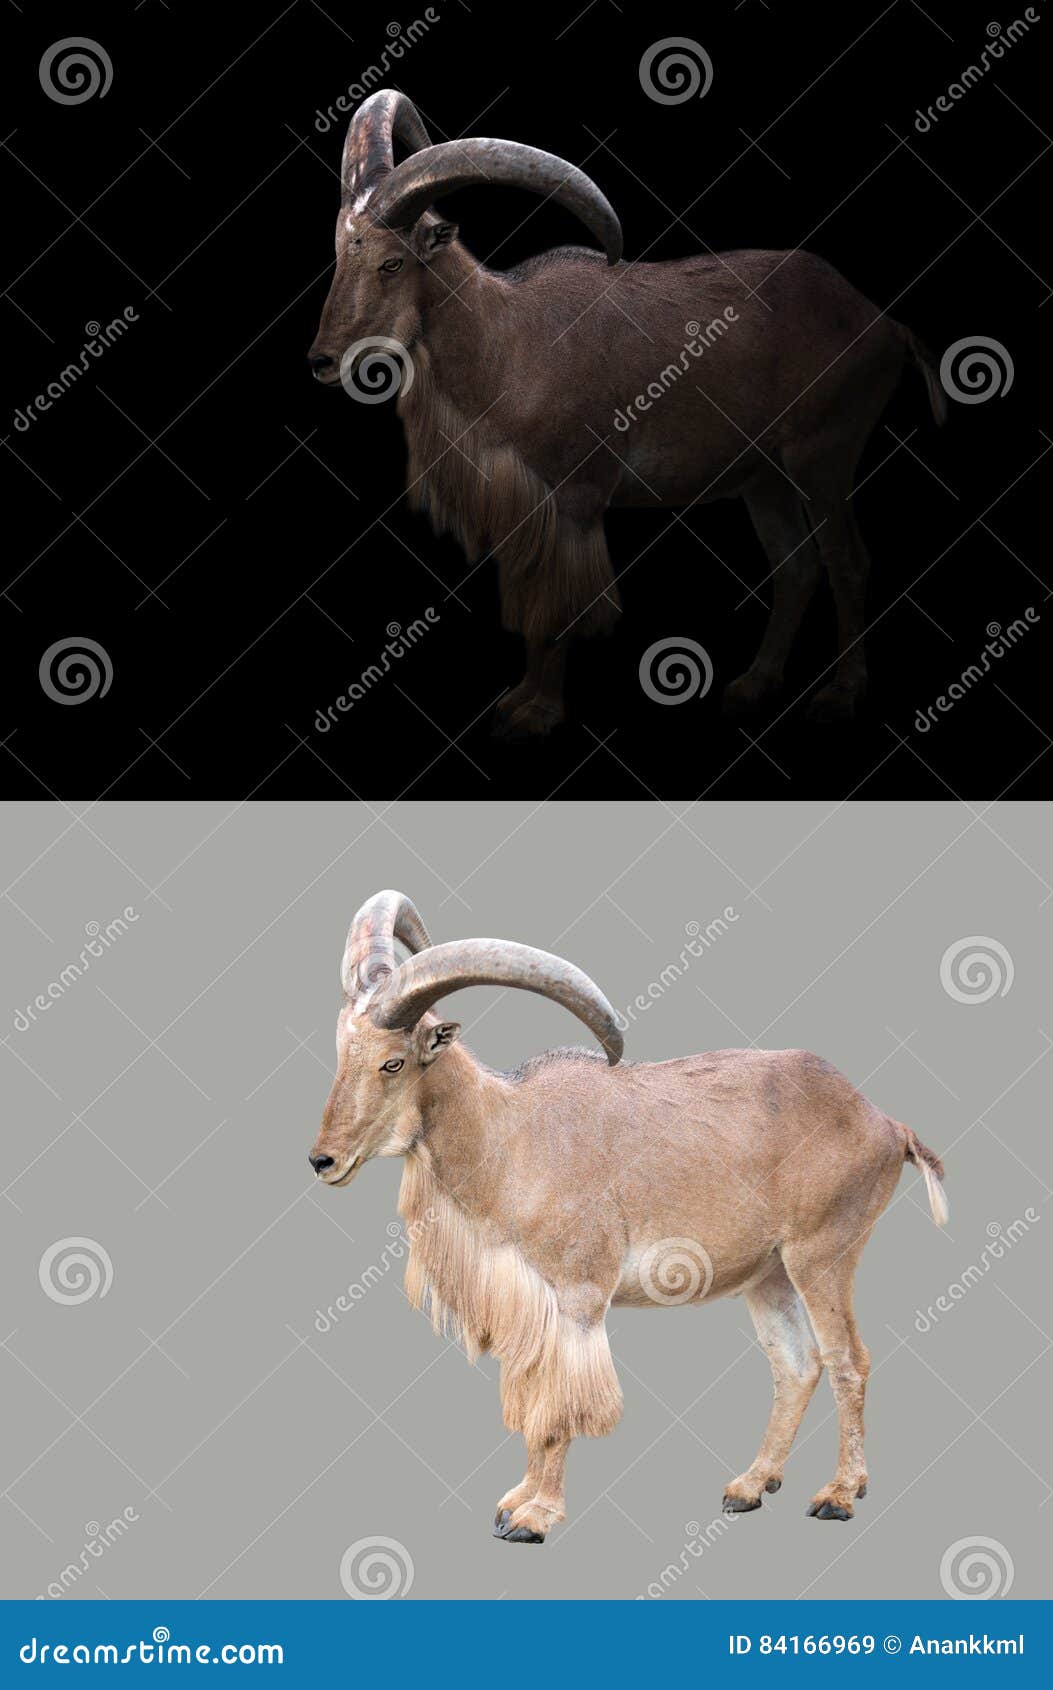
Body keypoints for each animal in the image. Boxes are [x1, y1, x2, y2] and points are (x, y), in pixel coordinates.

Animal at [309, 91, 946, 739]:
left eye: (392, 263)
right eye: (339, 255)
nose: (321, 361)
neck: (507, 343)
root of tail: (883, 322)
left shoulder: (576, 494)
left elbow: (561, 604)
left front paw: (541, 713)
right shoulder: (522, 506)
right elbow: (532, 594)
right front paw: (520, 700)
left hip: (823, 458)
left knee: (847, 562)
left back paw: (841, 695)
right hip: (764, 478)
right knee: (795, 567)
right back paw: (753, 685)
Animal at [309, 889, 948, 1543]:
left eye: (393, 1063)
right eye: (341, 1053)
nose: (322, 1160)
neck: (508, 1136)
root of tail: (883, 1123)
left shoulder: (580, 1293)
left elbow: (561, 1402)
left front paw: (535, 1518)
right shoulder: (529, 1304)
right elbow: (534, 1394)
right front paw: (515, 1502)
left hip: (823, 1255)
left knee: (848, 1361)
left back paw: (840, 1494)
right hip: (770, 1275)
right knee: (796, 1366)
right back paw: (749, 1486)